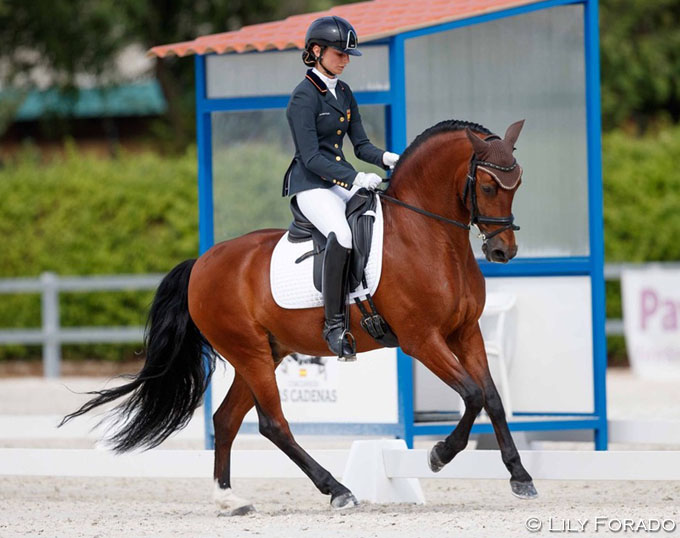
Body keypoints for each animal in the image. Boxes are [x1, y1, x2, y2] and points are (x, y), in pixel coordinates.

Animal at [61, 118, 537, 514]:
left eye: (518, 184)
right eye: (489, 186)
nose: (502, 251)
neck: (426, 235)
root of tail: (201, 263)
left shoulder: (466, 332)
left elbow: (491, 398)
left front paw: (521, 477)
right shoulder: (422, 340)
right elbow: (472, 395)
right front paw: (438, 455)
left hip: (263, 354)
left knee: (226, 420)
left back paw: (230, 499)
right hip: (250, 353)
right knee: (273, 424)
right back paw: (338, 490)